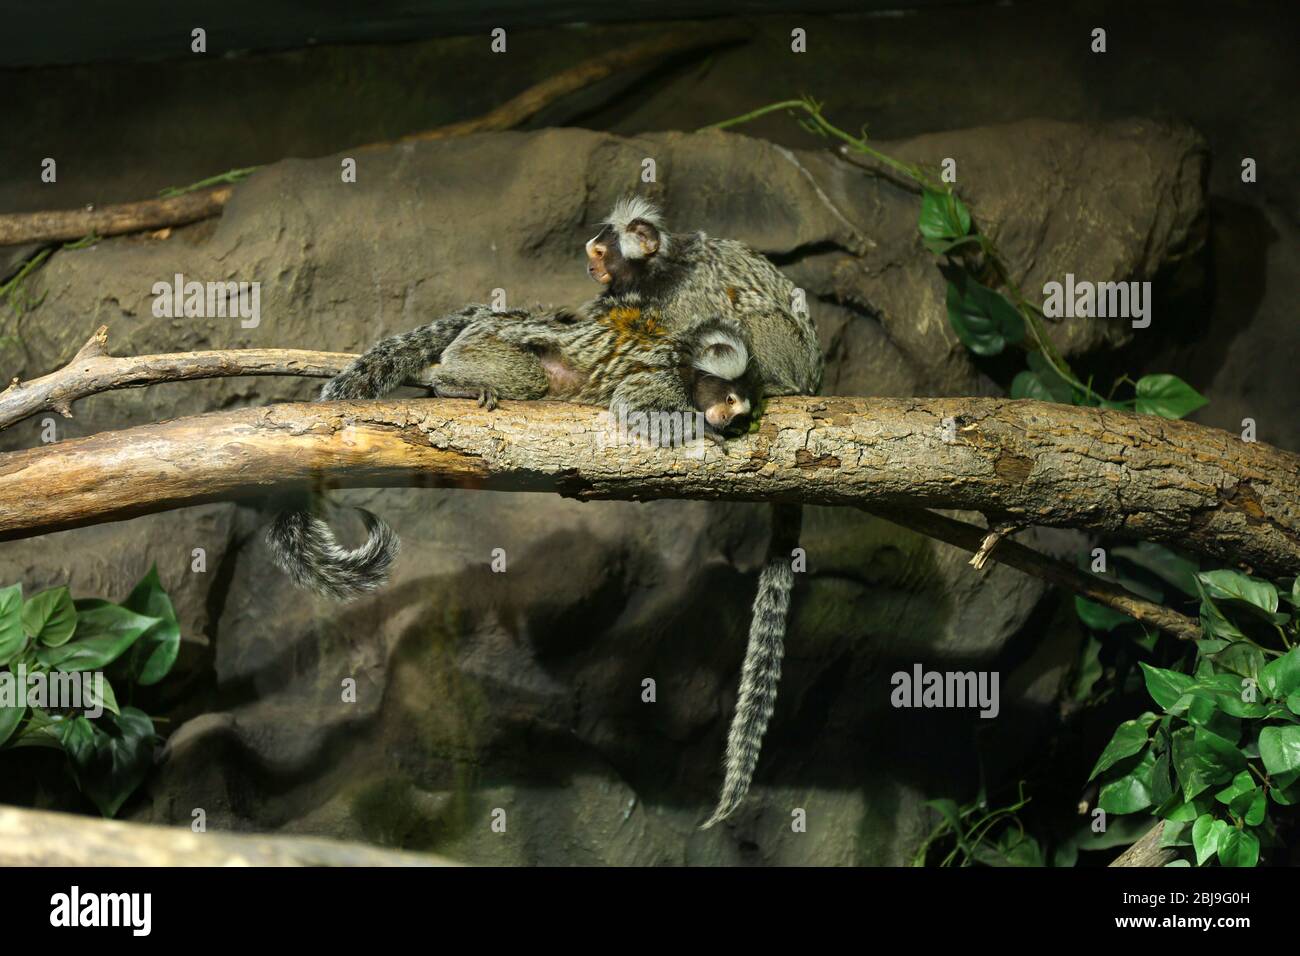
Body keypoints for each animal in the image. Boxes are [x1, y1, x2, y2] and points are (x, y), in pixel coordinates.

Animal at [267, 197, 824, 828]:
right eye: (596, 255)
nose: (734, 412)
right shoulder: (659, 355)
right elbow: (638, 401)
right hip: (495, 349)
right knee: (521, 366)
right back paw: (447, 381)